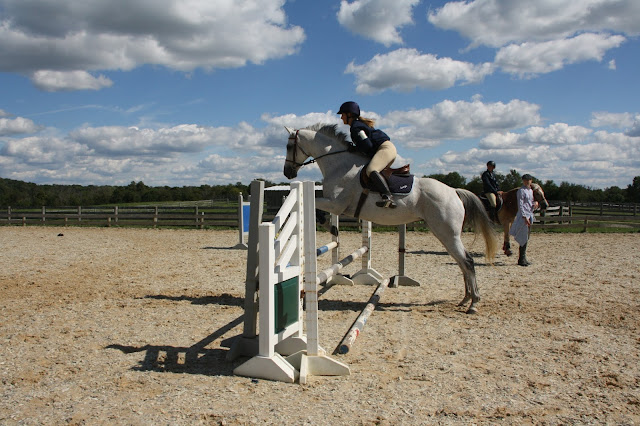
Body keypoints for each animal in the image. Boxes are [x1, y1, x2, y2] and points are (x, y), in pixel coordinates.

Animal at [283, 124, 498, 314]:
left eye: (288, 147)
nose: (287, 172)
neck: (339, 165)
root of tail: (454, 191)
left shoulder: (335, 204)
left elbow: (316, 205)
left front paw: (330, 226)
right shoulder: (335, 205)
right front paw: (331, 227)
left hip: (447, 233)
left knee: (467, 261)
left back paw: (473, 303)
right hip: (443, 234)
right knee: (462, 262)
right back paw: (465, 299)